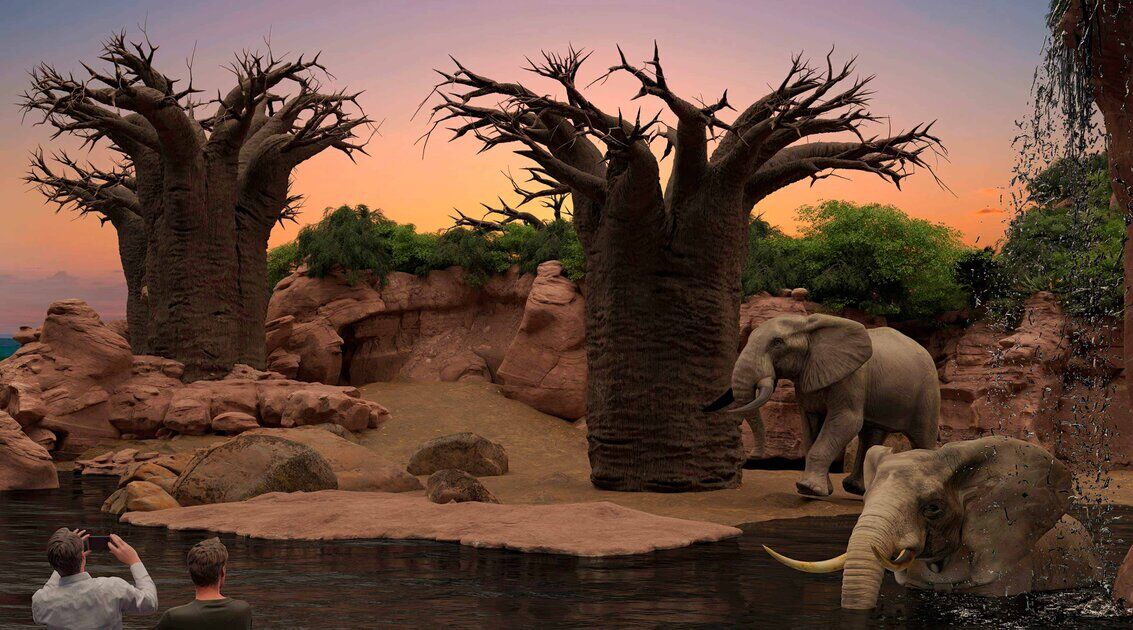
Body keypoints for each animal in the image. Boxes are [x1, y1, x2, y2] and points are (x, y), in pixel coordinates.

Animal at [705, 313, 939, 497]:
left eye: (777, 342)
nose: (752, 456)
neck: (807, 323)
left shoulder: (852, 378)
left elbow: (846, 421)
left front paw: (808, 489)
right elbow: (811, 423)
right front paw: (818, 490)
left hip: (927, 392)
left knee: (923, 439)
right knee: (871, 434)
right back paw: (856, 490)